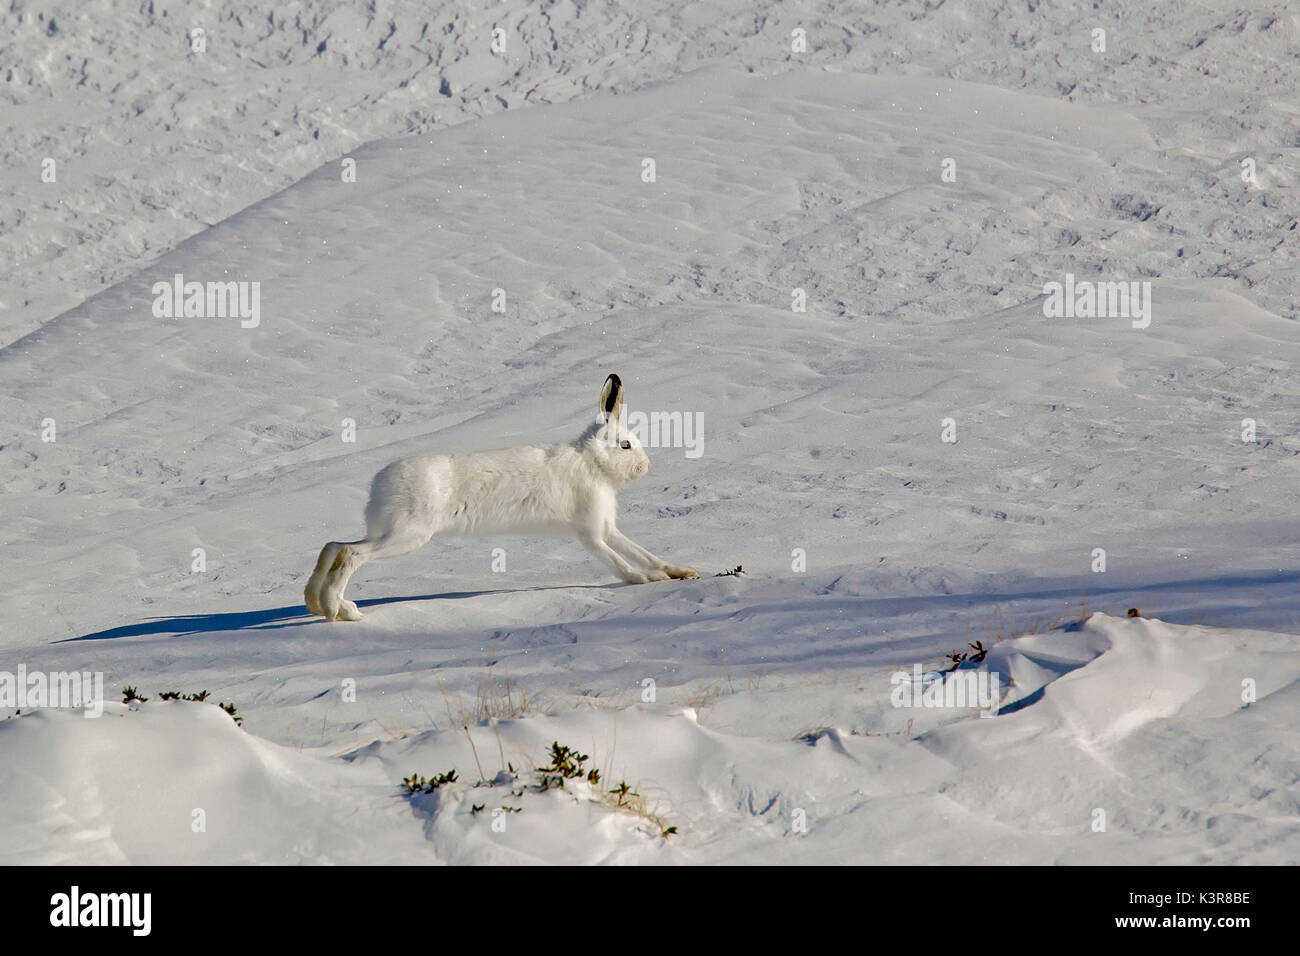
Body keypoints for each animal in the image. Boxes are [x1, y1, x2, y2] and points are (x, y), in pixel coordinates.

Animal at [304, 373, 697, 621]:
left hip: (390, 532)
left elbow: (639, 550)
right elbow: (615, 559)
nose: (646, 466)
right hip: (409, 534)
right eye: (625, 445)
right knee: (350, 554)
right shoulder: (589, 531)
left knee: (333, 546)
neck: (591, 462)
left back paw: (316, 604)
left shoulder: (606, 527)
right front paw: (642, 581)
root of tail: (380, 484)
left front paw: (677, 572)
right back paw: (342, 612)